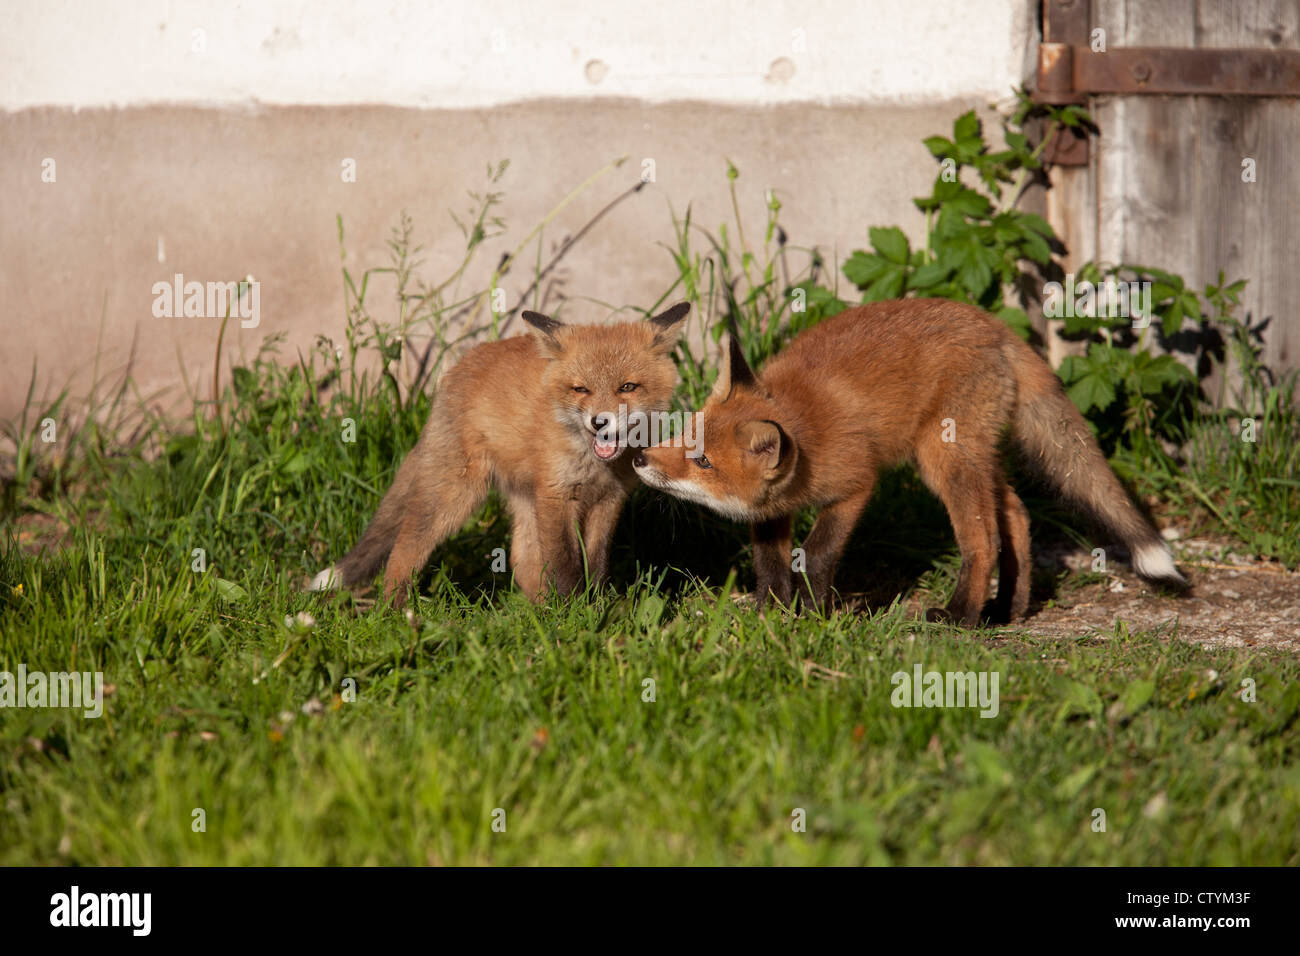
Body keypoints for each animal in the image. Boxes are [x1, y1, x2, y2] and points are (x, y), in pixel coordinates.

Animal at [310, 302, 691, 607]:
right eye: (580, 389)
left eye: (627, 387)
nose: (600, 422)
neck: (594, 465)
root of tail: (459, 366)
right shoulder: (555, 496)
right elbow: (565, 564)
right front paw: (572, 616)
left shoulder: (609, 499)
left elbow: (594, 563)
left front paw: (593, 608)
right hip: (456, 495)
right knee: (404, 550)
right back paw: (395, 611)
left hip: (522, 499)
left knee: (523, 562)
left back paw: (537, 611)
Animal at [632, 299, 1186, 625]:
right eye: (684, 433)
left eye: (702, 461)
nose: (638, 457)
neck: (805, 427)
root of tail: (994, 326)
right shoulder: (774, 510)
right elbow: (769, 564)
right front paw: (773, 614)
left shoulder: (855, 487)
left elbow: (818, 552)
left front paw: (812, 615)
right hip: (972, 455)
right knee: (1016, 513)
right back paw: (1008, 608)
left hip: (944, 458)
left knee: (983, 538)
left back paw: (962, 616)